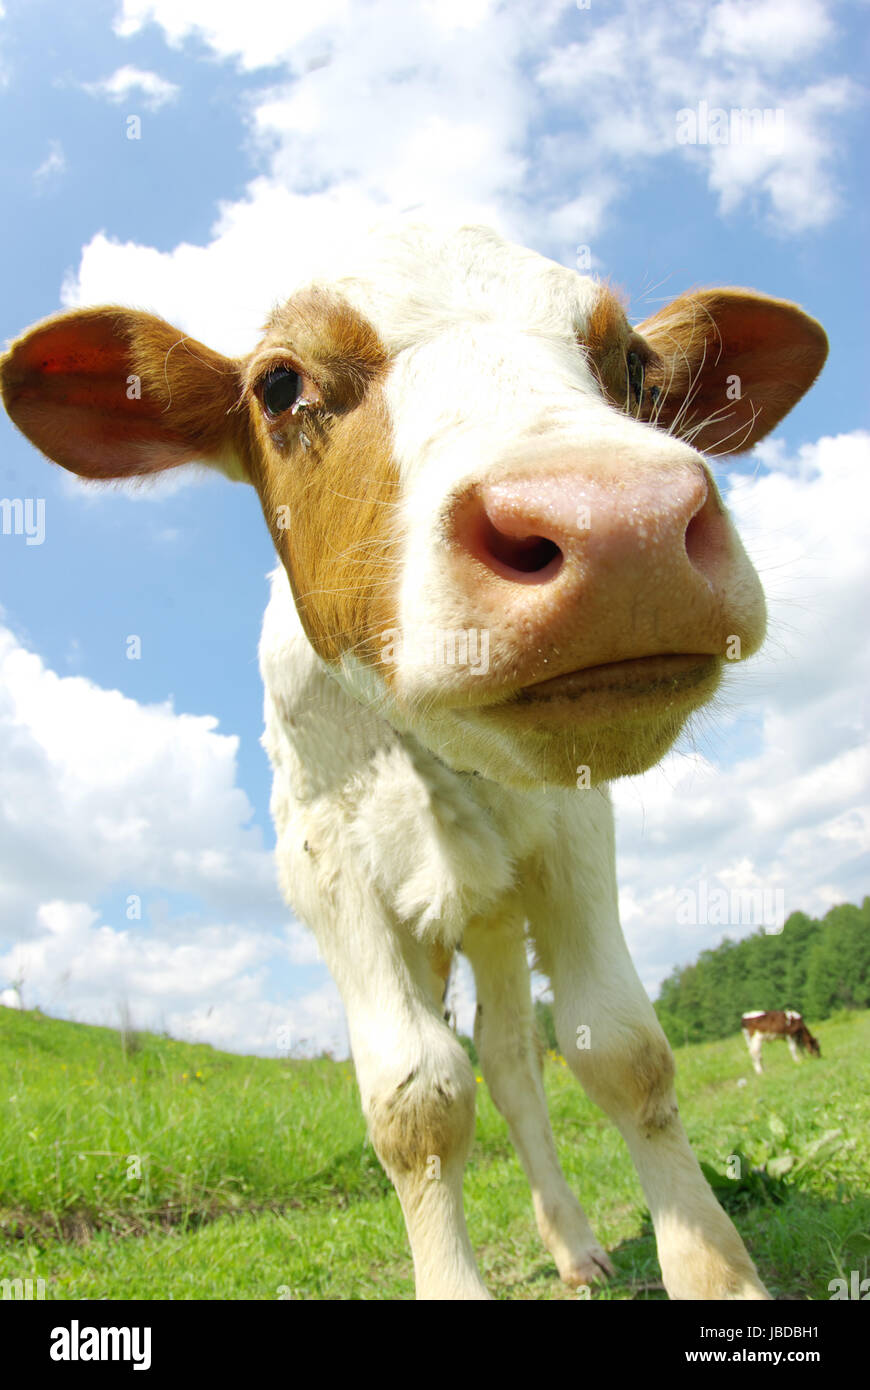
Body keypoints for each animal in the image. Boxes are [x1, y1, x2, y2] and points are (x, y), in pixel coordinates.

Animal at [0, 220, 828, 1299]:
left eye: (637, 366)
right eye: (279, 384)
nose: (620, 527)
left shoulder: (573, 832)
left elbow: (621, 1049)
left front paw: (712, 1273)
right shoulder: (329, 874)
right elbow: (414, 1099)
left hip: (494, 920)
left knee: (514, 1065)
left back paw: (573, 1242)